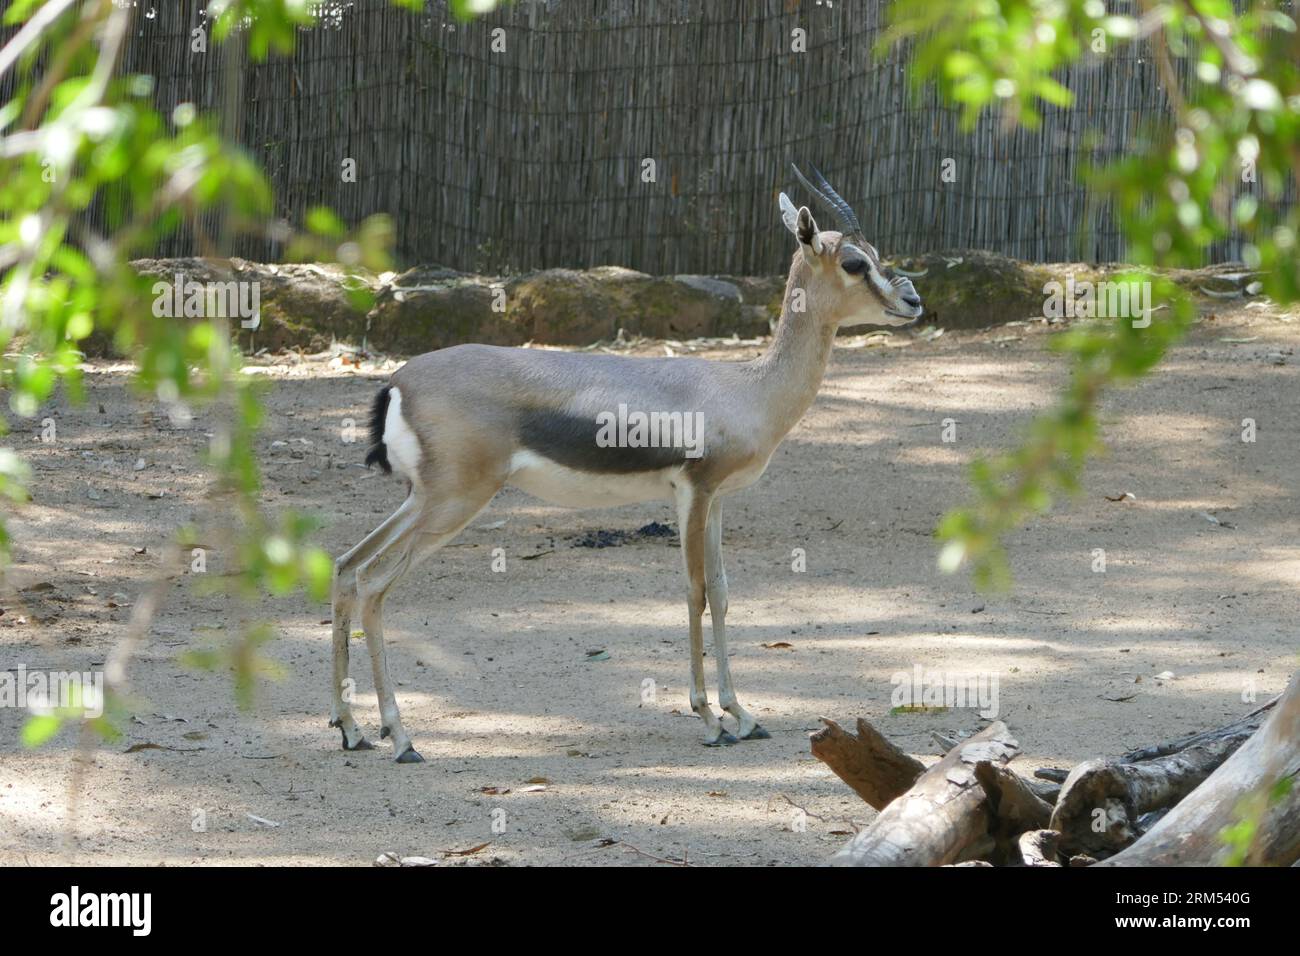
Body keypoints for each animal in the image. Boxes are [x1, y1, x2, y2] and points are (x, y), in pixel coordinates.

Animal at [329, 166, 923, 761]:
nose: (914, 300)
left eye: (875, 253)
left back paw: (352, 729)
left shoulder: (718, 501)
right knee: (374, 585)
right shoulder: (693, 493)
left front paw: (744, 715)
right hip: (454, 502)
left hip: (422, 499)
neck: (748, 388)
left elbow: (723, 592)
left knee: (345, 566)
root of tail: (398, 383)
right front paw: (709, 719)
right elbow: (695, 592)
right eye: (855, 262)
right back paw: (401, 737)